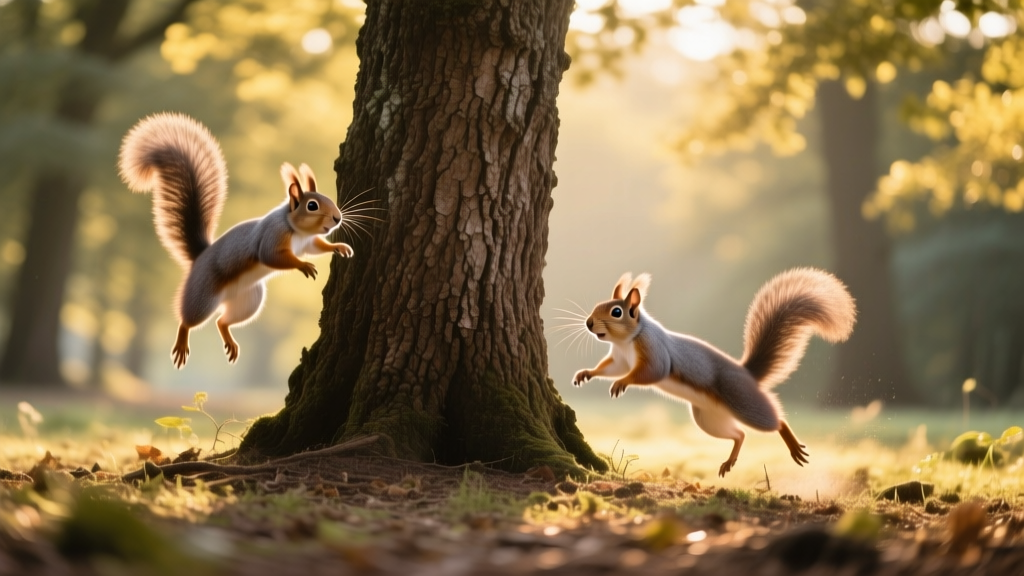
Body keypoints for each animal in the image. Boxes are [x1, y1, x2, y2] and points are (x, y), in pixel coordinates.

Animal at [118, 112, 353, 368]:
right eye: (312, 205)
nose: (337, 218)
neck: (296, 230)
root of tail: (199, 257)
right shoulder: (272, 235)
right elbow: (271, 256)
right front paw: (303, 265)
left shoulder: (307, 242)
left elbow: (318, 246)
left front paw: (338, 247)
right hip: (203, 296)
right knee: (189, 320)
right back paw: (181, 342)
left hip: (249, 300)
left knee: (222, 321)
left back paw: (229, 340)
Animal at [572, 268, 856, 477]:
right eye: (599, 304)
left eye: (616, 311)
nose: (588, 323)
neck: (626, 341)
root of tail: (748, 374)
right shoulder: (620, 358)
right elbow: (609, 368)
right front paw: (586, 373)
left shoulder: (654, 350)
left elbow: (651, 372)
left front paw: (622, 383)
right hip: (708, 419)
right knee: (739, 434)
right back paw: (729, 462)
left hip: (743, 401)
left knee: (774, 421)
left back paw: (791, 442)